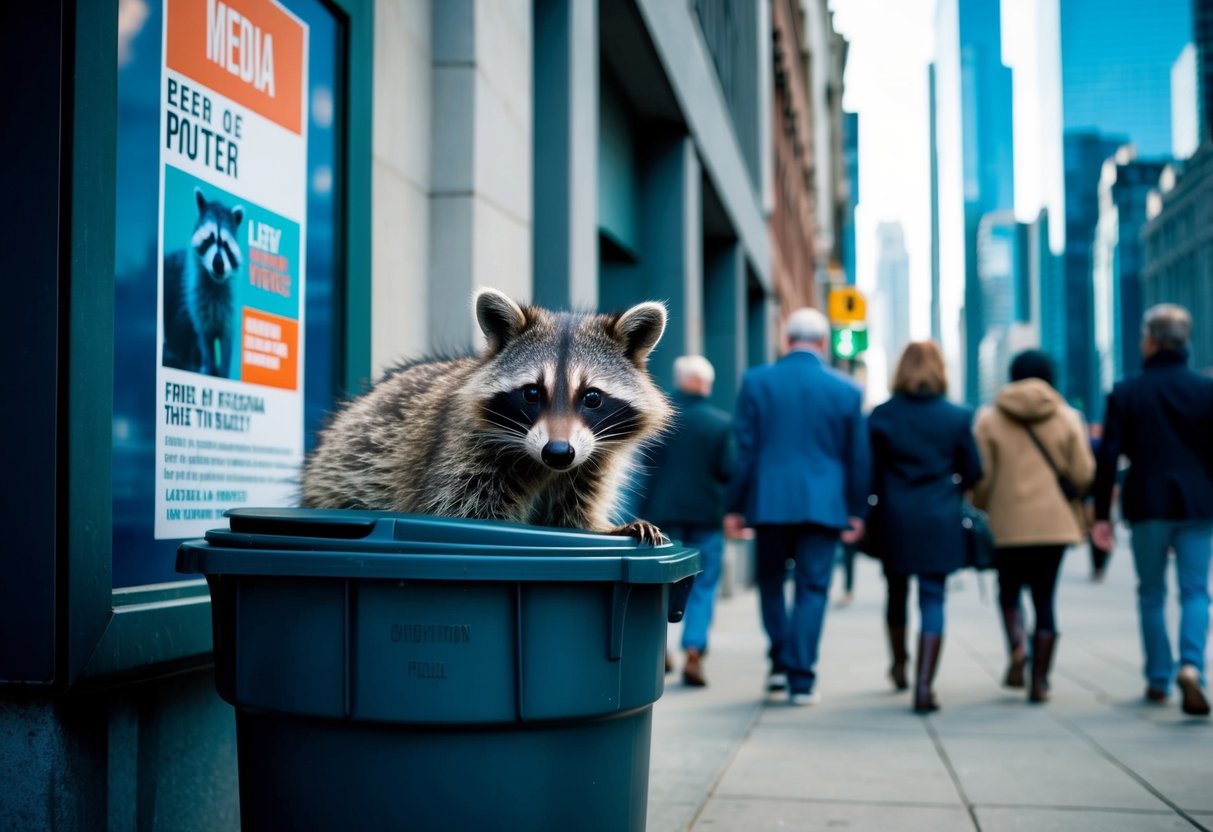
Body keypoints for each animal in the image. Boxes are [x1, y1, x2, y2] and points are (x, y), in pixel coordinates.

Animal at [163, 187, 243, 377]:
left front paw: (223, 372)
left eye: (226, 245)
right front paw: (207, 365)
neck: (214, 282)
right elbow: (205, 341)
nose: (218, 264)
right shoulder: (196, 306)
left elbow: (227, 341)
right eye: (210, 239)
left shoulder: (228, 311)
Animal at [301, 289, 674, 543]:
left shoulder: (591, 463)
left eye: (592, 397)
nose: (558, 452)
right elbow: (463, 513)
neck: (543, 467)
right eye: (532, 393)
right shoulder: (461, 457)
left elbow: (572, 517)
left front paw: (606, 528)